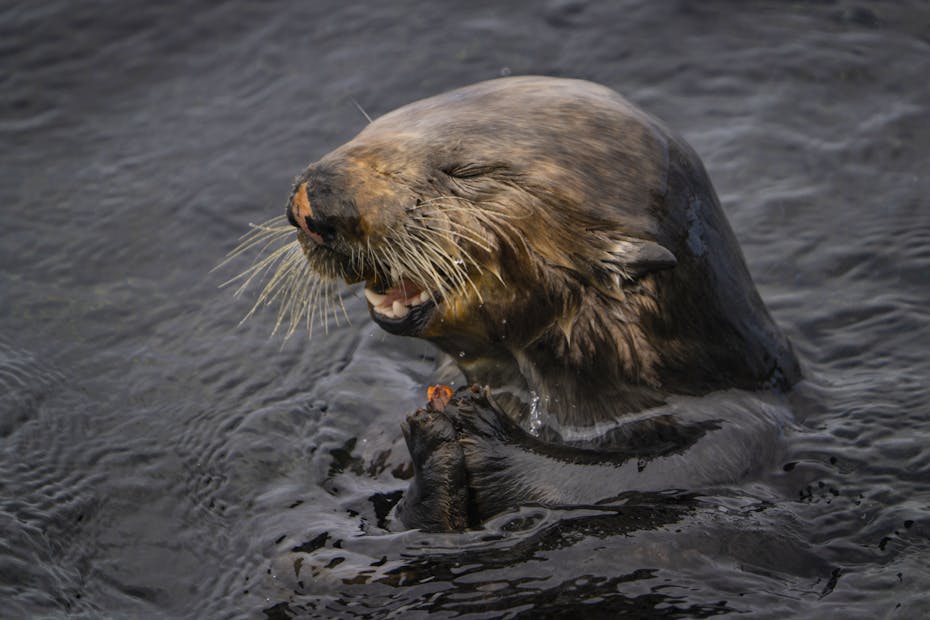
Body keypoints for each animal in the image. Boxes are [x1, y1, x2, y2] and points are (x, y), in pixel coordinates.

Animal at [235, 76, 800, 530]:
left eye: (468, 171)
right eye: (374, 129)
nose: (313, 201)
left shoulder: (733, 444)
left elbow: (607, 478)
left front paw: (476, 434)